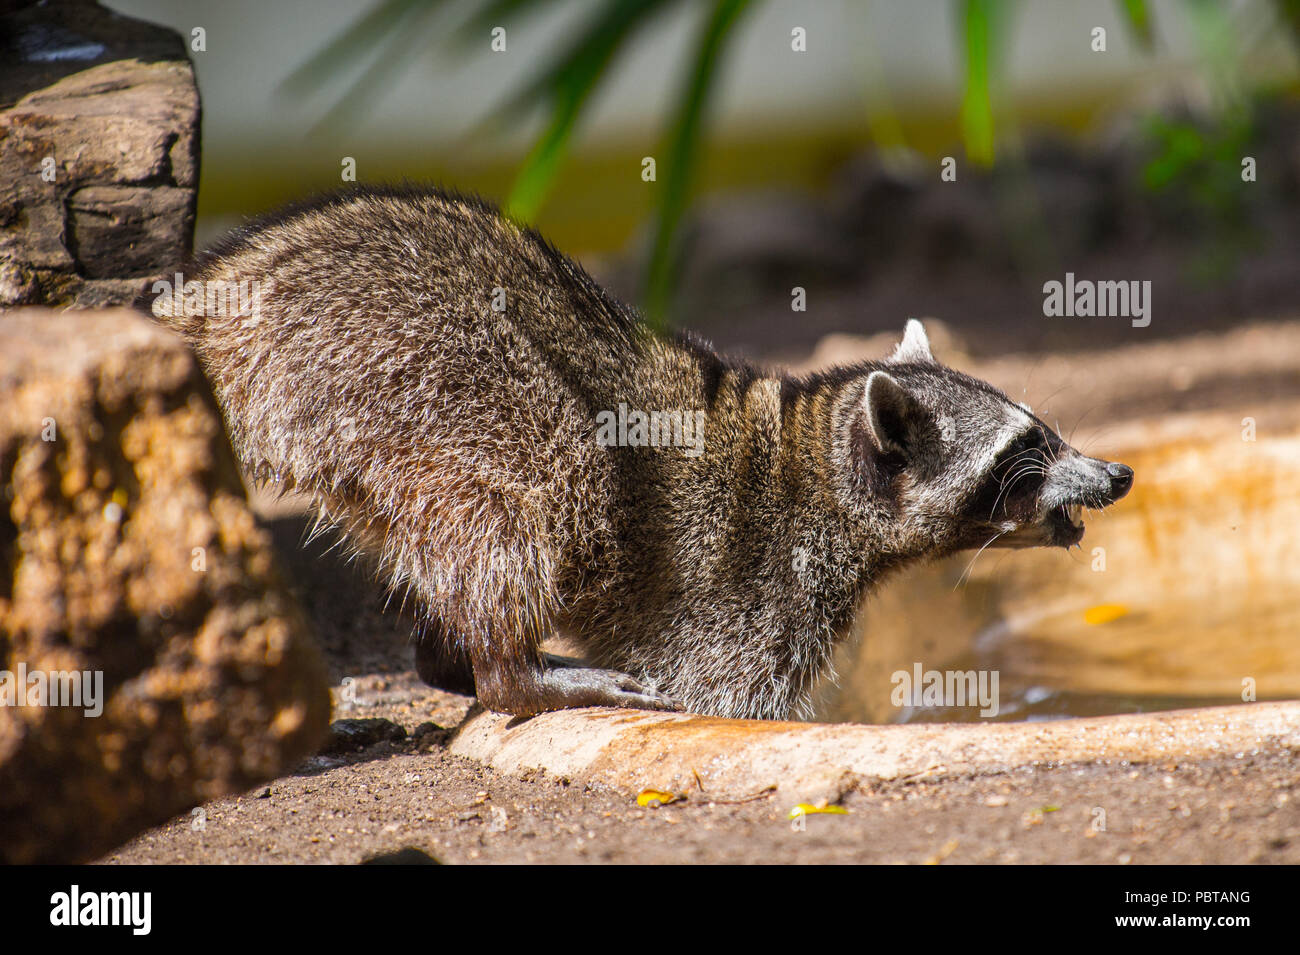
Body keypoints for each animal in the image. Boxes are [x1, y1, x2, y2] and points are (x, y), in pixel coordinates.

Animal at [147, 184, 1133, 721]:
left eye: (1046, 433)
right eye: (1024, 456)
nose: (1119, 473)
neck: (808, 452)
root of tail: (222, 295)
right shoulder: (751, 595)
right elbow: (727, 693)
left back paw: (451, 658)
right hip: (410, 376)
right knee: (537, 475)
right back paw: (508, 674)